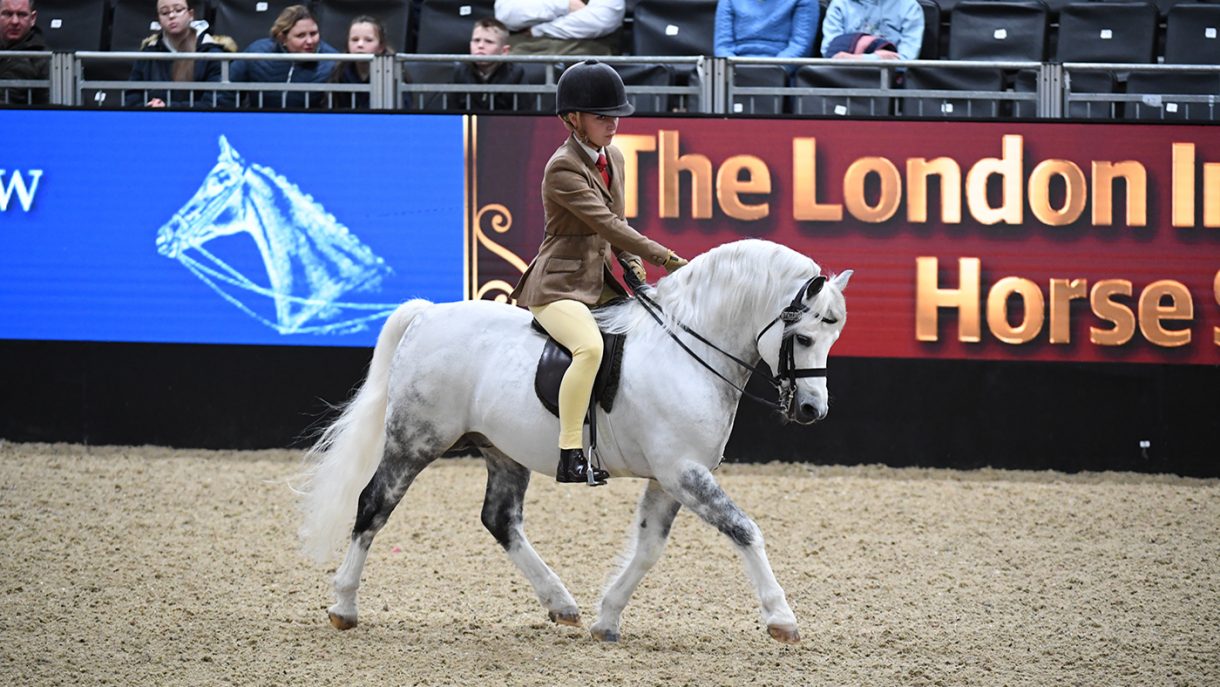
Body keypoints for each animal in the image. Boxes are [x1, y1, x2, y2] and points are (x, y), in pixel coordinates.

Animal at [296, 238, 852, 644]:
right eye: (803, 337)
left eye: (832, 337)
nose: (812, 410)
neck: (686, 349)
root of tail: (428, 314)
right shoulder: (684, 471)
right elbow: (744, 529)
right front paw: (781, 617)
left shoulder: (672, 475)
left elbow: (649, 547)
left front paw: (607, 619)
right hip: (415, 441)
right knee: (374, 504)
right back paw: (343, 605)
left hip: (502, 450)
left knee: (500, 519)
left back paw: (561, 604)